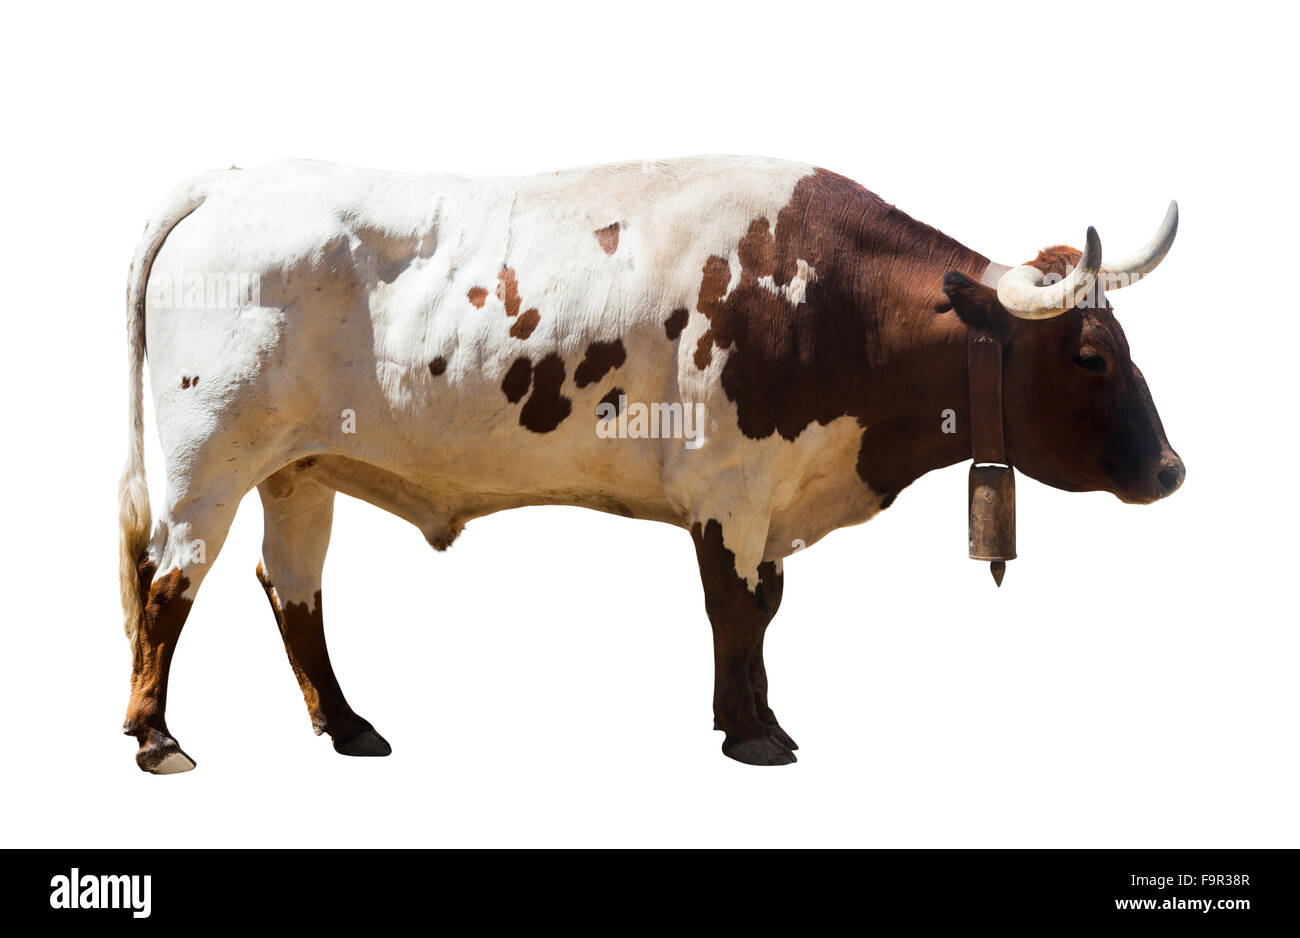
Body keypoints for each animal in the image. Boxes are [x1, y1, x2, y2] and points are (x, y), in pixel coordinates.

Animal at [118, 156, 1184, 773]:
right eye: (1092, 356)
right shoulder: (731, 487)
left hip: (298, 468)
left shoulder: (771, 498)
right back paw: (157, 737)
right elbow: (737, 609)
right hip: (207, 461)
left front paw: (755, 716)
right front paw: (751, 735)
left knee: (291, 587)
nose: (1172, 471)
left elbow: (765, 607)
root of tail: (234, 182)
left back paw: (345, 726)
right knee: (167, 580)